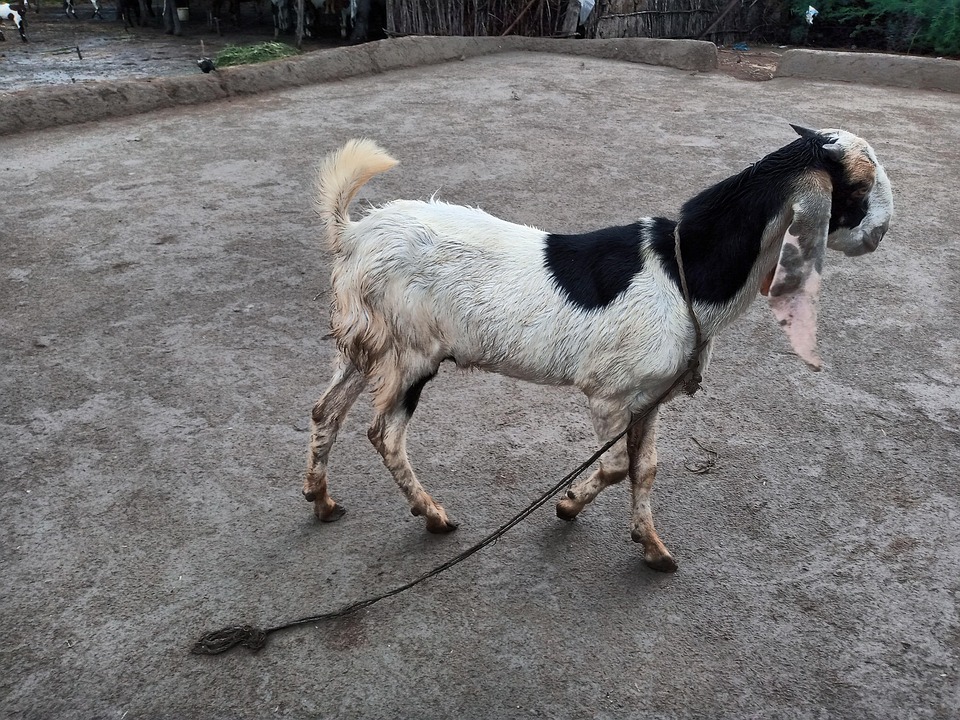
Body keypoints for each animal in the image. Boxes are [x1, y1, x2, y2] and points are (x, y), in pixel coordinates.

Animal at [302, 126, 894, 572]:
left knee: (326, 409)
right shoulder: (608, 395)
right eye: (860, 188)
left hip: (365, 341)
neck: (687, 272)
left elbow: (646, 467)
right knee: (384, 433)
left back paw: (321, 500)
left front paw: (653, 548)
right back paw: (432, 515)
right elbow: (614, 467)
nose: (882, 234)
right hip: (411, 354)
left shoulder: (650, 399)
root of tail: (353, 234)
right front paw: (567, 506)